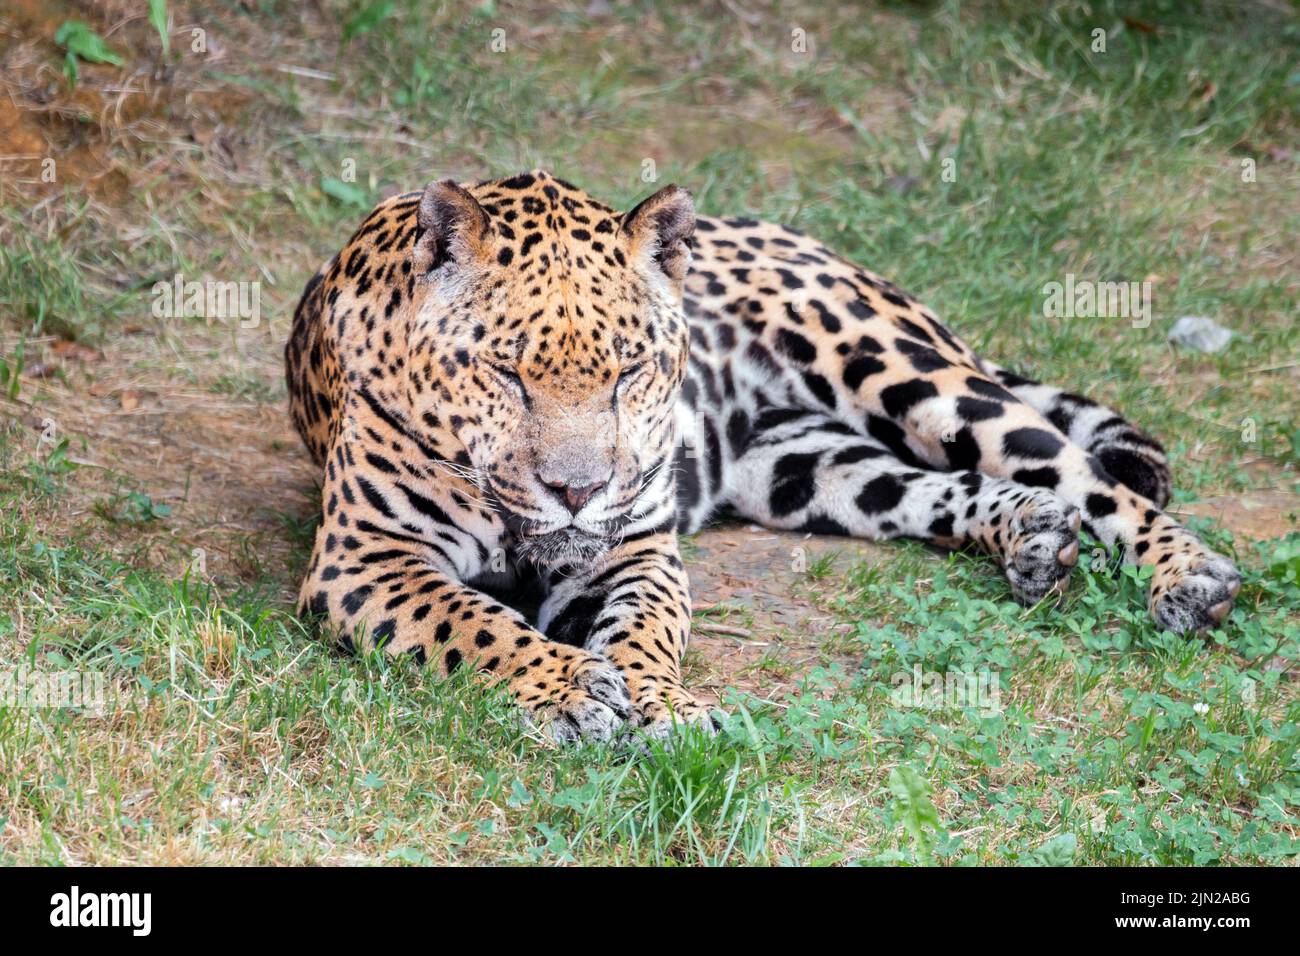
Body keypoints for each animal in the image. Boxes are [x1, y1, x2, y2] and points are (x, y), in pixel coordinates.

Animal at [285, 169, 1242, 746]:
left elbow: (644, 632)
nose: (578, 491)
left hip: (901, 366)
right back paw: (1034, 536)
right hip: (806, 467)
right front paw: (573, 689)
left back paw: (1189, 575)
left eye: (628, 369)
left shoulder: (637, 551)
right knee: (944, 484)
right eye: (505, 370)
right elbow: (477, 622)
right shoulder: (368, 560)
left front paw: (661, 704)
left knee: (1085, 472)